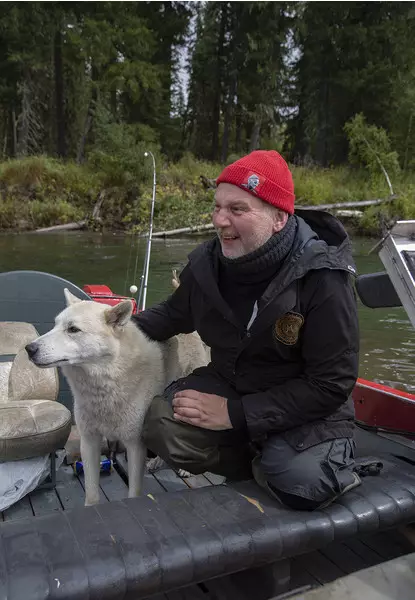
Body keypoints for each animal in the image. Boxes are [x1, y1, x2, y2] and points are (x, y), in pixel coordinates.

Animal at [26, 290, 210, 506]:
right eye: (55, 325)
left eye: (73, 329)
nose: (29, 348)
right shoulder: (89, 440)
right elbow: (91, 493)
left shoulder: (135, 445)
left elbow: (134, 493)